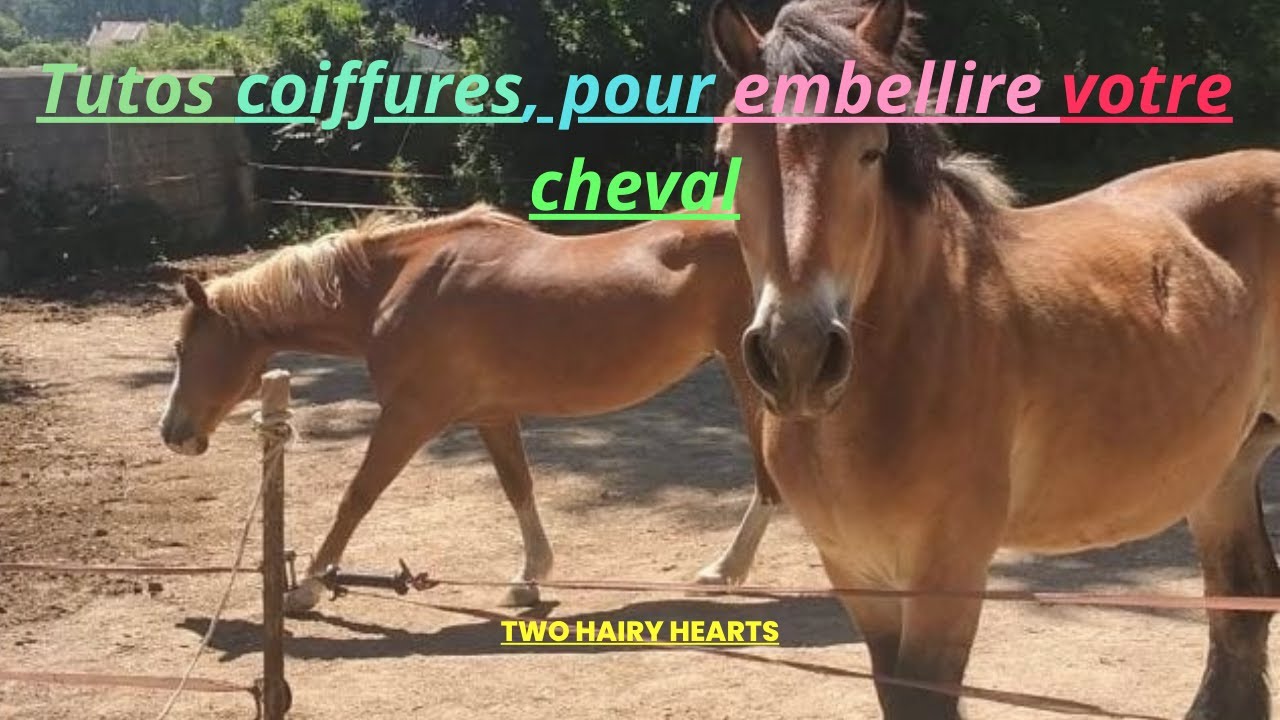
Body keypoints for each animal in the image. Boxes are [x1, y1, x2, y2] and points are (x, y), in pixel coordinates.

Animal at [159, 205, 780, 611]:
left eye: (183, 347)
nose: (172, 433)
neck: (397, 285)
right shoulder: (491, 416)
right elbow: (518, 488)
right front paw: (529, 578)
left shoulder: (409, 416)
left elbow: (356, 496)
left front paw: (308, 587)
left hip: (755, 384)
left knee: (769, 483)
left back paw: (725, 570)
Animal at [710, 0, 1280, 717]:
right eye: (729, 156)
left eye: (870, 150)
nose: (798, 354)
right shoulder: (857, 574)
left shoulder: (947, 577)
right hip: (1225, 468)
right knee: (1241, 599)